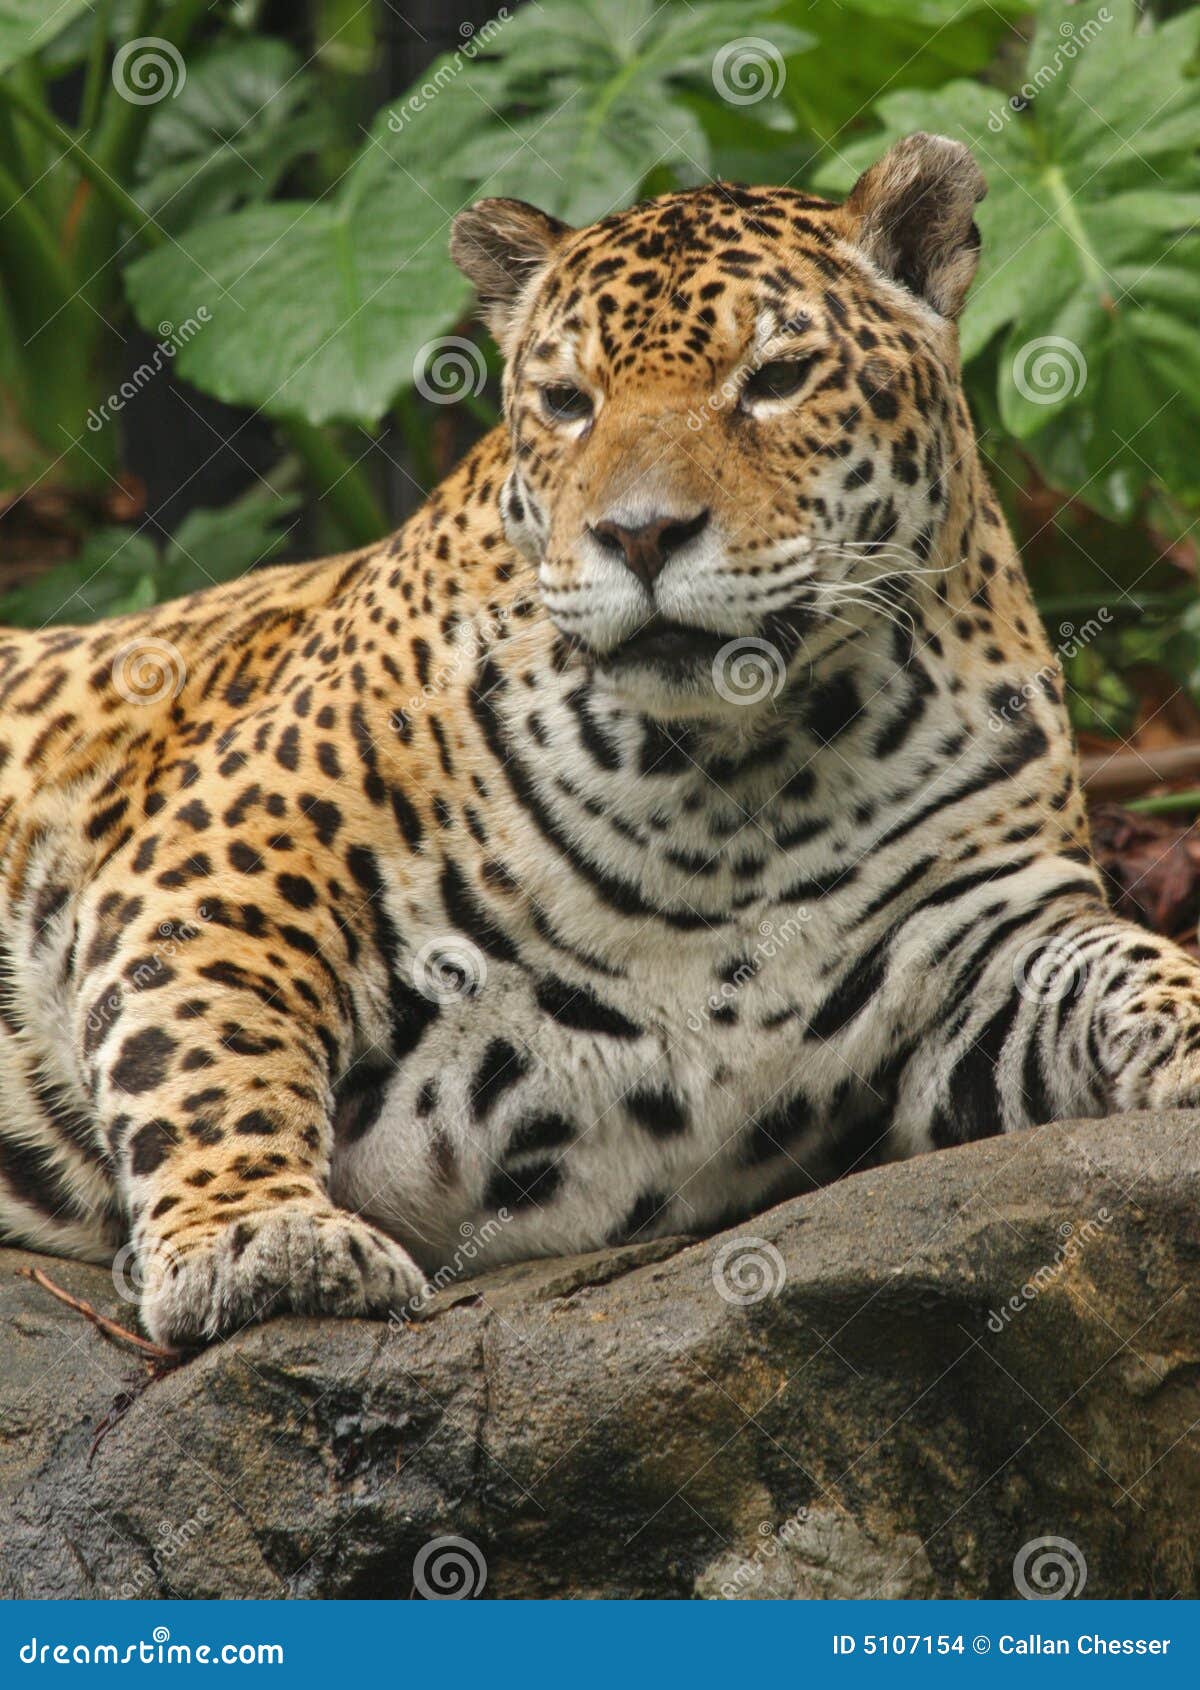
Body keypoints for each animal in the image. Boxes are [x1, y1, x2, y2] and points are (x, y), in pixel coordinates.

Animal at [2, 133, 1198, 1348]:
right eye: (569, 403)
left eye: (775, 380)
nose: (641, 533)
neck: (738, 779)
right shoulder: (229, 848)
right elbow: (210, 1041)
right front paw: (259, 1238)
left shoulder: (983, 957)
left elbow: (1124, 963)